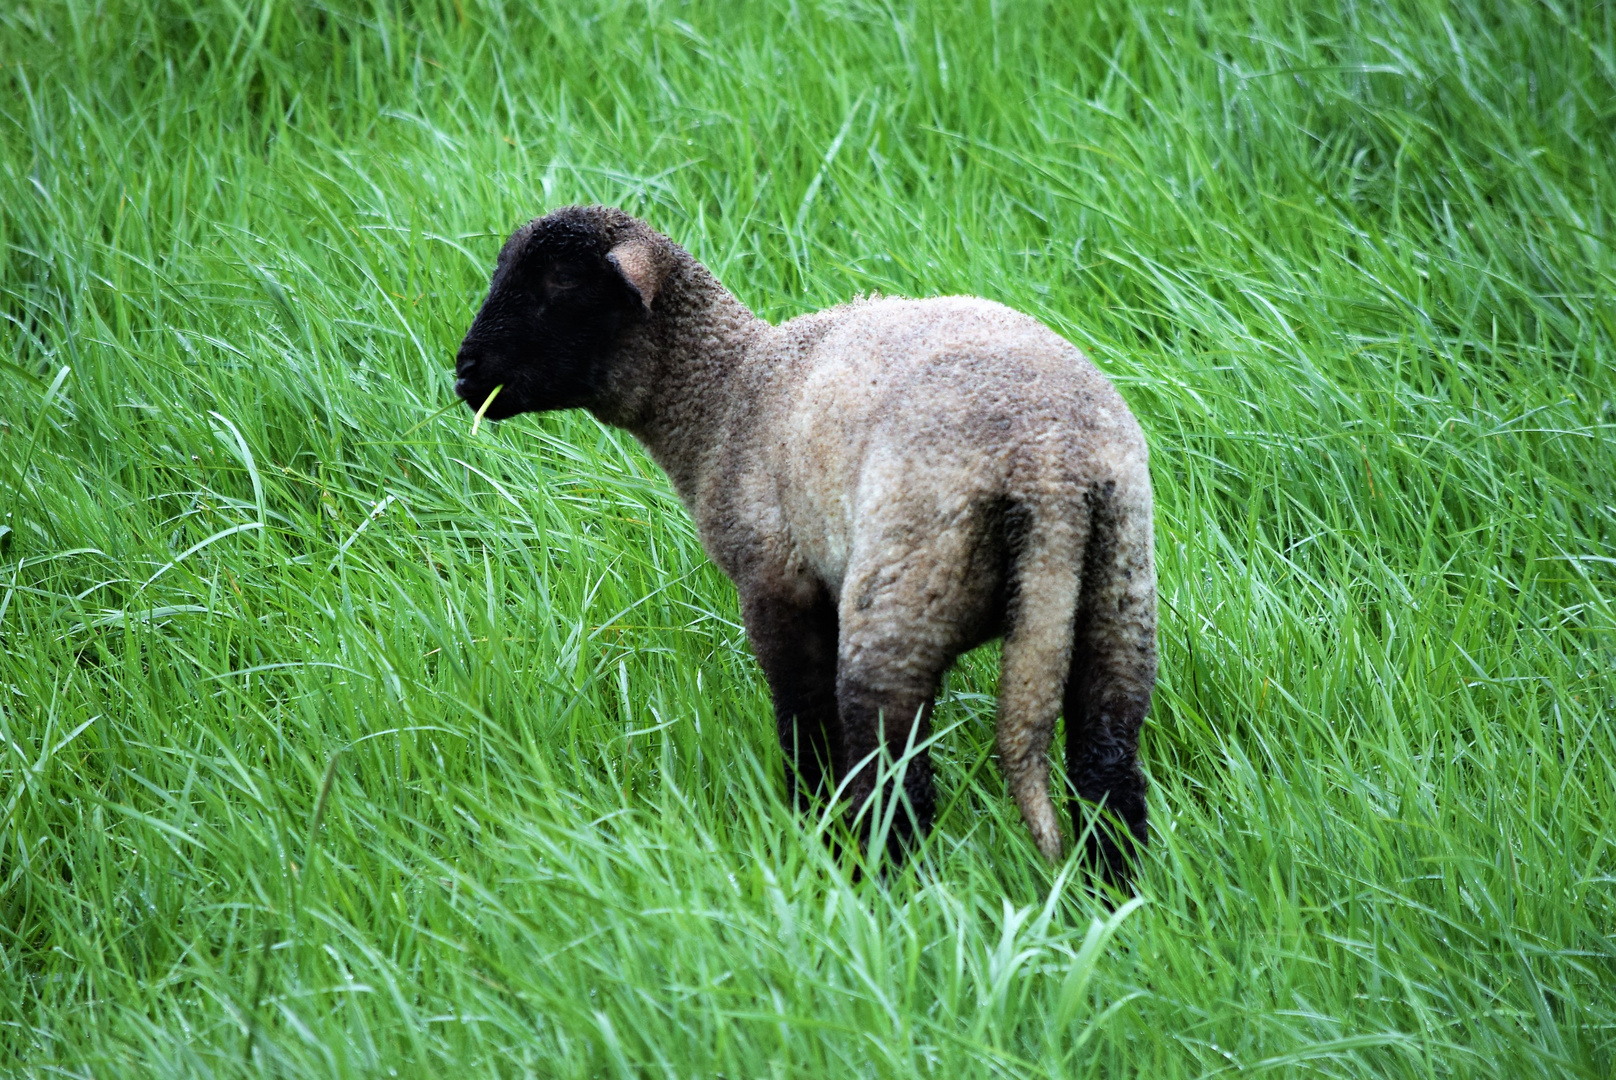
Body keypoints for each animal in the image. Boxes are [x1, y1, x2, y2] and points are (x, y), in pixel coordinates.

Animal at [455, 206, 1163, 879]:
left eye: (561, 285)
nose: (464, 373)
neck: (727, 398)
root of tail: (1049, 466)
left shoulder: (777, 580)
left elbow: (805, 718)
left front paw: (809, 817)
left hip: (901, 596)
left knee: (898, 781)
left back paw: (873, 881)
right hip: (1119, 594)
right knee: (1108, 773)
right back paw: (1110, 896)